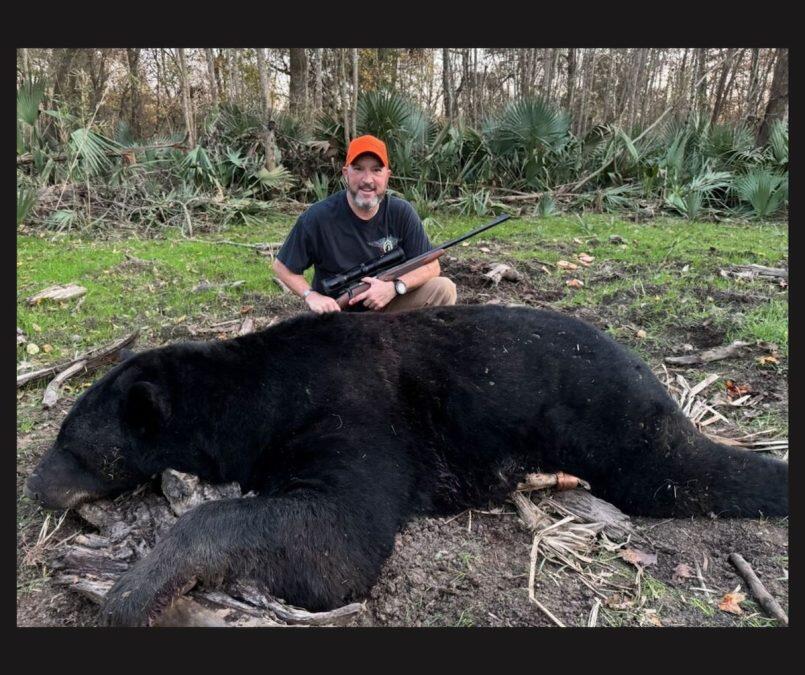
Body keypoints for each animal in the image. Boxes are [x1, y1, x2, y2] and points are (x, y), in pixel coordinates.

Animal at [24, 304, 788, 626]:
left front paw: (132, 592)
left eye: (75, 445)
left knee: (684, 470)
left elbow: (334, 541)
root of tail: (647, 370)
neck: (256, 392)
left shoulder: (354, 415)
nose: (33, 487)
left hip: (611, 420)